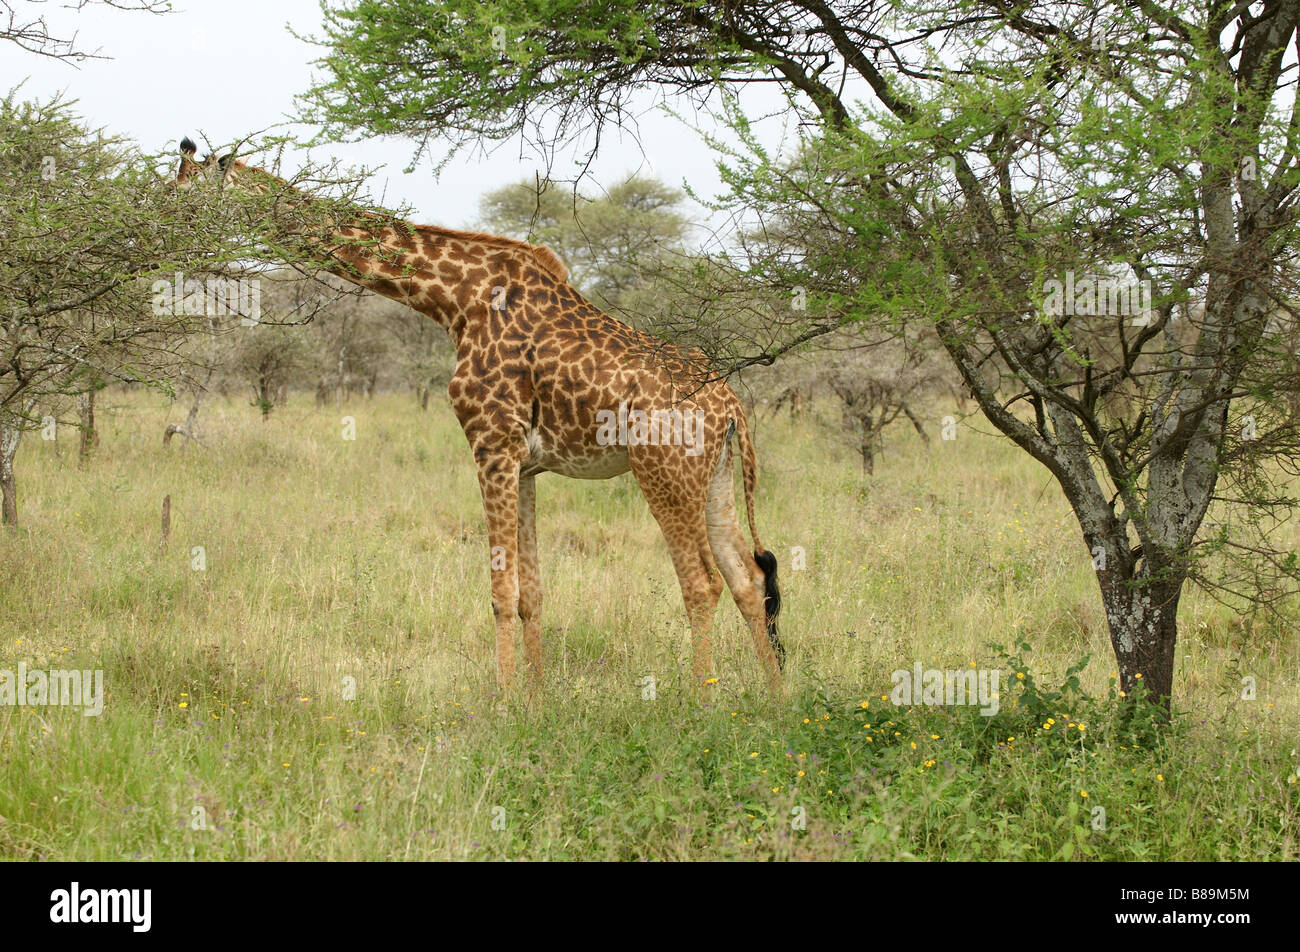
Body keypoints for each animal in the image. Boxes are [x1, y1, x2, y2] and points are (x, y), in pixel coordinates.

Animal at [175, 137, 785, 695]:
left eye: (184, 189)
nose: (167, 237)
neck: (455, 299)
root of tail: (731, 406)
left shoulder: (490, 444)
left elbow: (499, 592)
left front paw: (504, 705)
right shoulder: (526, 464)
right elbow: (531, 593)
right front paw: (537, 703)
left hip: (662, 473)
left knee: (702, 584)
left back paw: (701, 704)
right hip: (715, 477)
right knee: (747, 578)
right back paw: (775, 702)